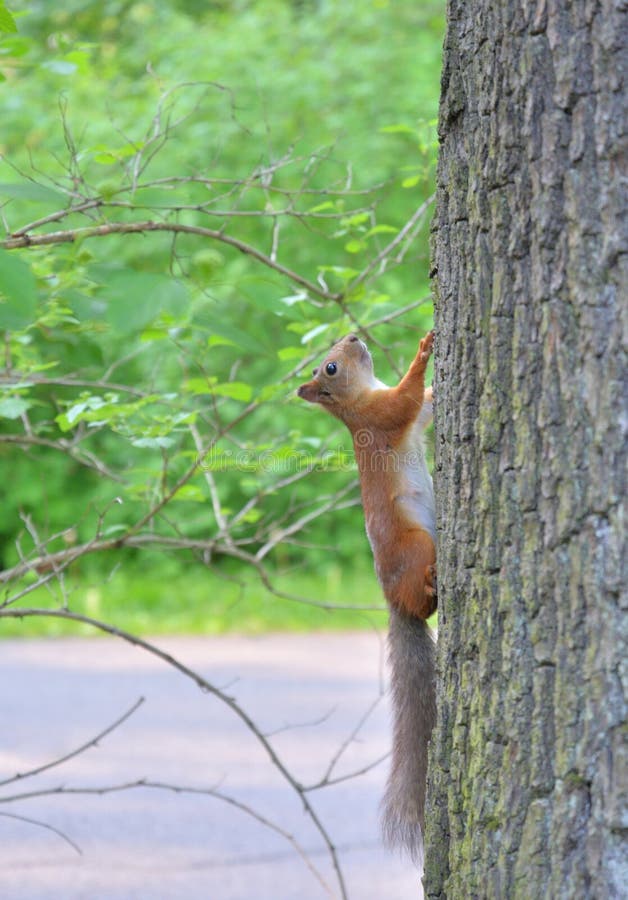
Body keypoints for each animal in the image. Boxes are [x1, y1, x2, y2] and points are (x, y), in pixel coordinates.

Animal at [298, 330, 437, 867]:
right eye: (331, 368)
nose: (354, 336)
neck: (359, 399)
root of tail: (392, 599)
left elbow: (425, 407)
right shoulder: (382, 417)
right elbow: (406, 399)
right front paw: (424, 351)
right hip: (416, 546)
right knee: (424, 599)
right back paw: (434, 583)